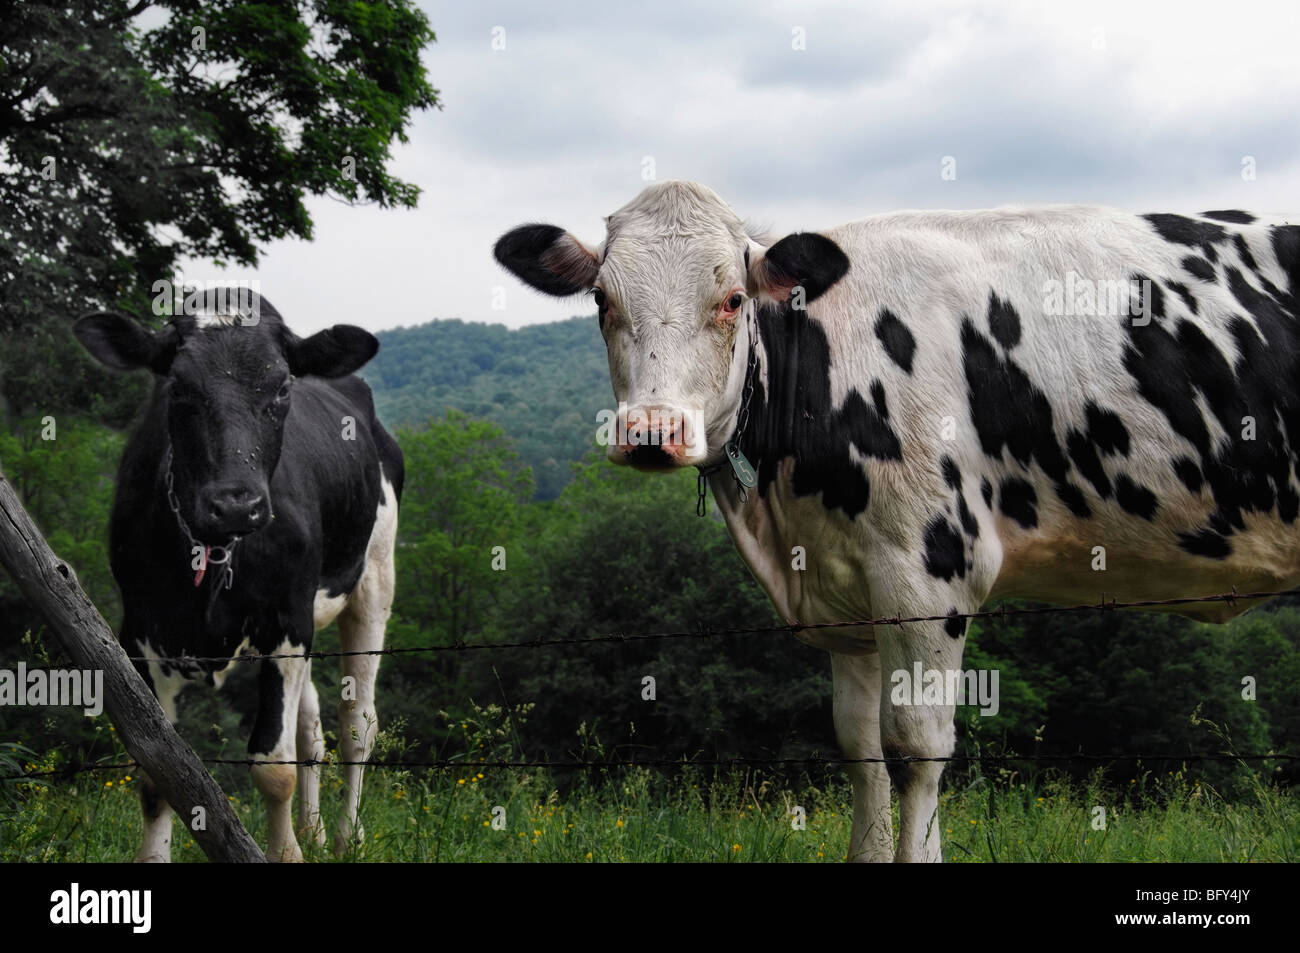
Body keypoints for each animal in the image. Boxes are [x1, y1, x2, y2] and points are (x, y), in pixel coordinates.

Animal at [74, 290, 403, 862]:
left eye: (282, 386)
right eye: (178, 386)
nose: (236, 504)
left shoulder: (286, 624)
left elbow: (274, 767)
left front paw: (285, 853)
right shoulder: (139, 629)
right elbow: (158, 768)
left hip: (373, 581)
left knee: (358, 724)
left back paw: (346, 837)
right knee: (311, 727)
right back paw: (314, 831)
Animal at [494, 180, 1300, 862]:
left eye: (731, 299)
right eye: (601, 298)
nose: (652, 431)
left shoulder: (928, 570)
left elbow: (915, 746)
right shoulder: (850, 591)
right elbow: (860, 748)